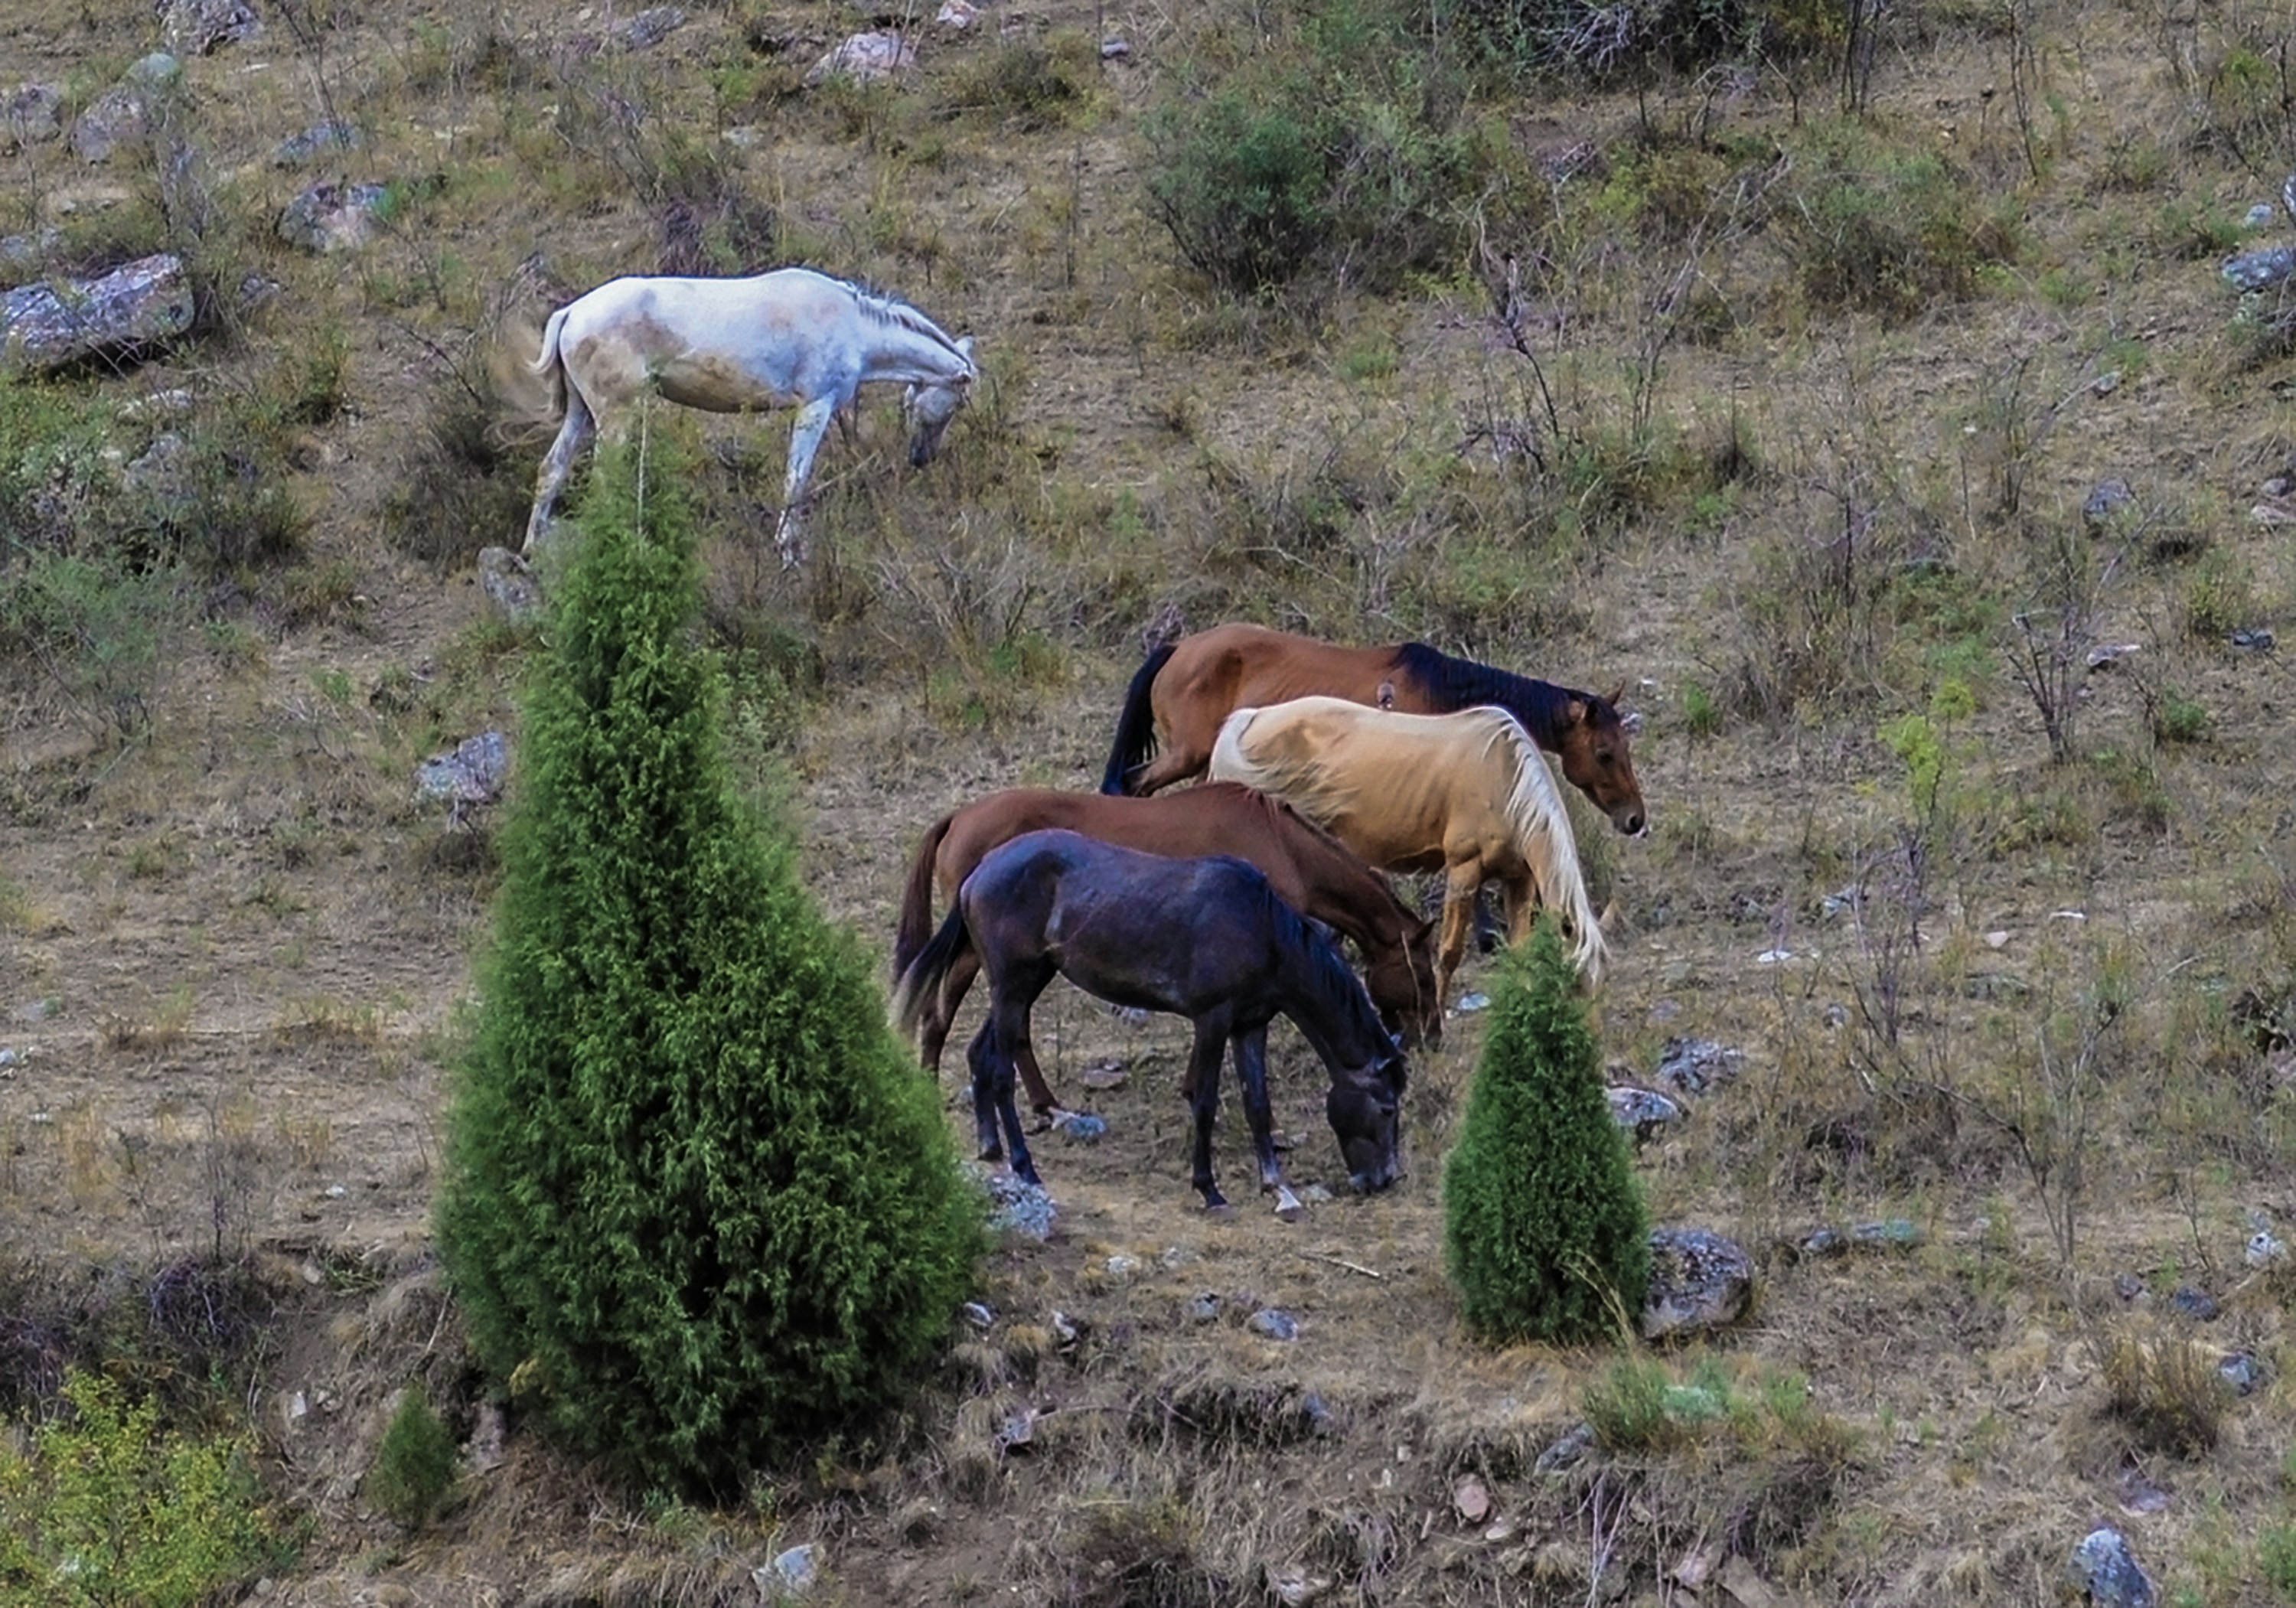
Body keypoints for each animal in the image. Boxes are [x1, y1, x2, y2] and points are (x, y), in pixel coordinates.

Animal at [509, 266, 977, 566]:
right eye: (954, 404)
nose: (922, 458)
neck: (855, 328)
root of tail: (571, 312)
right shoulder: (815, 407)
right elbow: (795, 481)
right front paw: (789, 553)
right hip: (616, 414)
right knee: (607, 483)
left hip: (582, 414)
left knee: (553, 469)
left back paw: (532, 551)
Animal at [891, 830, 1407, 1216]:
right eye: (1386, 1109)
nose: (1383, 1179)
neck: (1262, 929)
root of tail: (980, 869)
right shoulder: (1213, 1019)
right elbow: (1205, 1101)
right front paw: (1209, 1187)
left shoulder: (1250, 1025)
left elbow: (1257, 1103)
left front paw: (1276, 1185)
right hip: (1012, 985)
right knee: (999, 1072)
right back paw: (1024, 1166)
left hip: (1025, 983)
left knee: (982, 1053)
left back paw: (990, 1146)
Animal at [893, 784, 1440, 1109]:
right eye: (1424, 975)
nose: (1430, 1037)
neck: (1284, 846)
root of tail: (959, 817)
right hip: (985, 955)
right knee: (942, 1015)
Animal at [1100, 622, 1647, 835]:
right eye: (1604, 753)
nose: (1636, 820)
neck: (1440, 694)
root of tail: (1178, 648)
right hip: (1186, 754)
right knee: (1133, 785)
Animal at [1207, 697, 1608, 1008]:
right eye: (1573, 983)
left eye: (1598, 987)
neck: (1504, 779)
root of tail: (1253, 717)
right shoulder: (1464, 871)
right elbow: (1449, 954)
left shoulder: (1518, 880)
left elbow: (1521, 951)